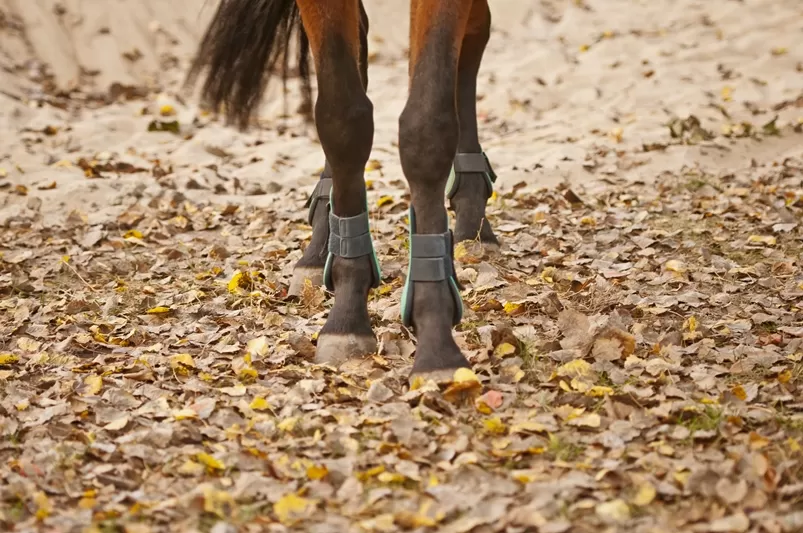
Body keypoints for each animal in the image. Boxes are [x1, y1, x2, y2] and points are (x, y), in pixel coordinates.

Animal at [189, 1, 502, 382]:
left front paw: (437, 345)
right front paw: (347, 313)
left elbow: (427, 127)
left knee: (476, 29)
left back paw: (473, 215)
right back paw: (321, 240)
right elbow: (341, 118)